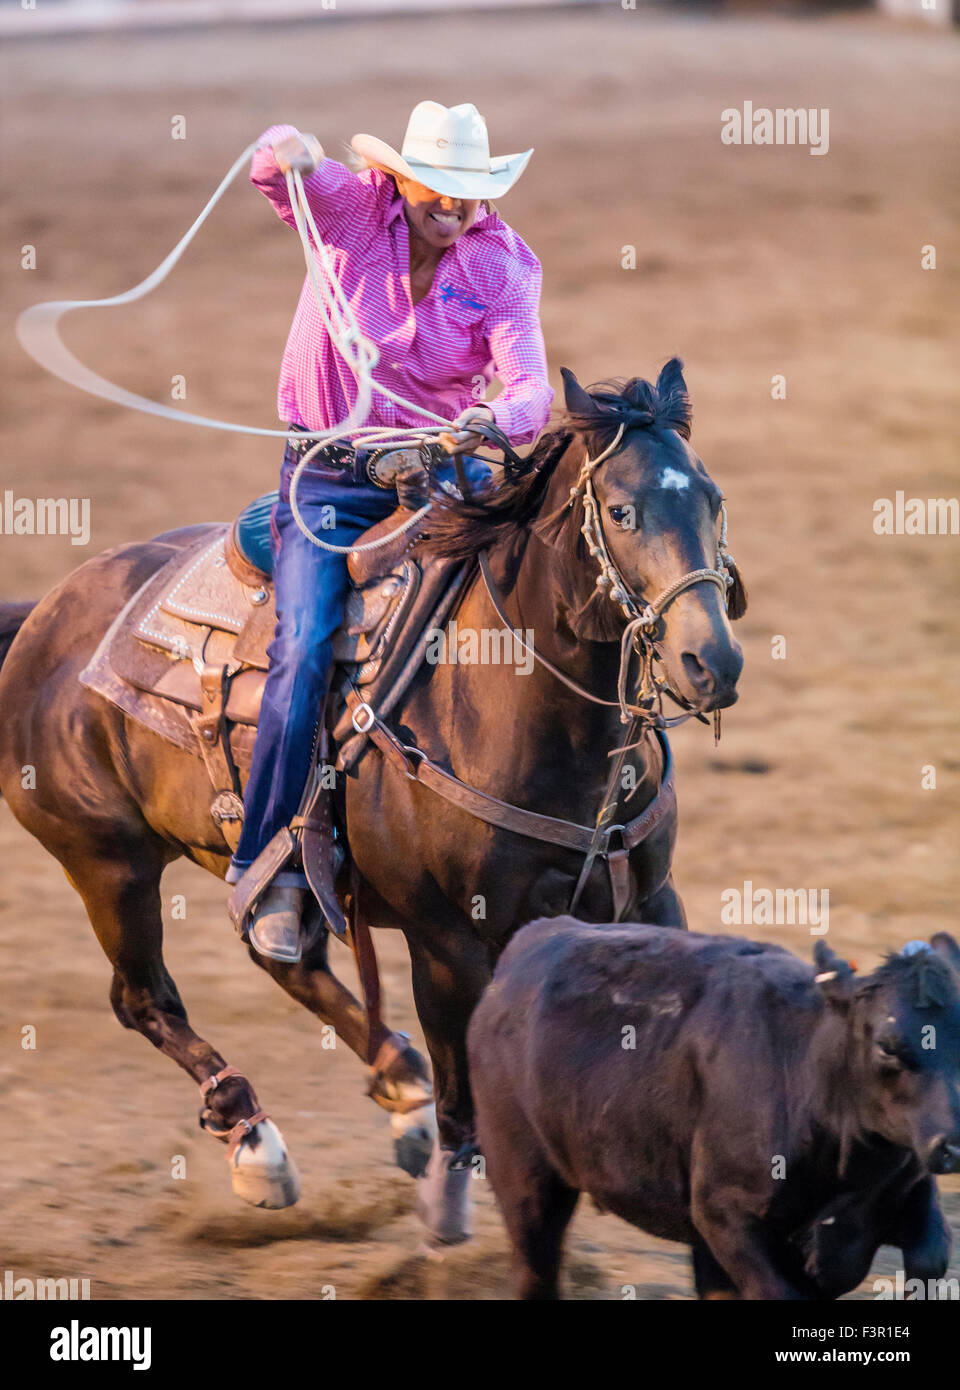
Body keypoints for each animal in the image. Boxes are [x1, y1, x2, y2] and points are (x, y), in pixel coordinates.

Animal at [467, 919, 960, 1300]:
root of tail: (536, 937)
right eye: (887, 1046)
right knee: (535, 1272)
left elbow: (930, 1258)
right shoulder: (727, 1215)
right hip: (524, 1182)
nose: (952, 1145)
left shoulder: (909, 1191)